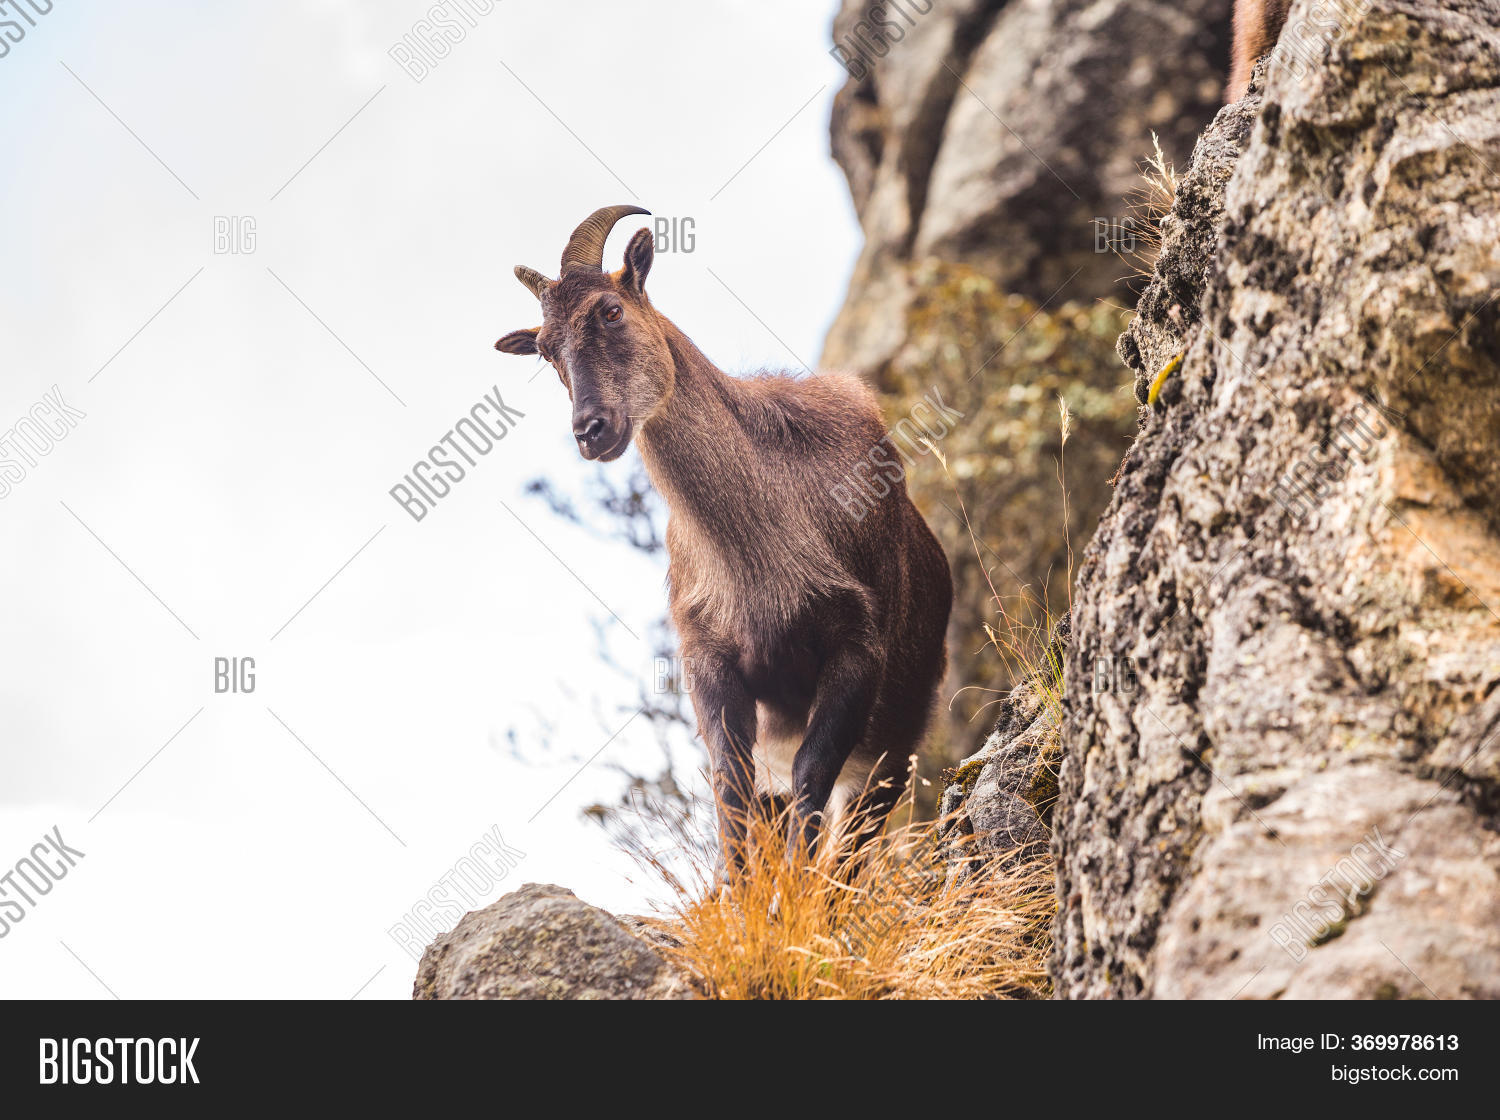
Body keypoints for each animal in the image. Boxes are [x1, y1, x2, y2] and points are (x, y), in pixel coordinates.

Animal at [496, 205, 953, 871]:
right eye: (545, 350)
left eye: (611, 310)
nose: (591, 430)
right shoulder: (710, 656)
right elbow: (730, 785)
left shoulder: (857, 650)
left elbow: (812, 774)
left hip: (896, 738)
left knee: (859, 833)